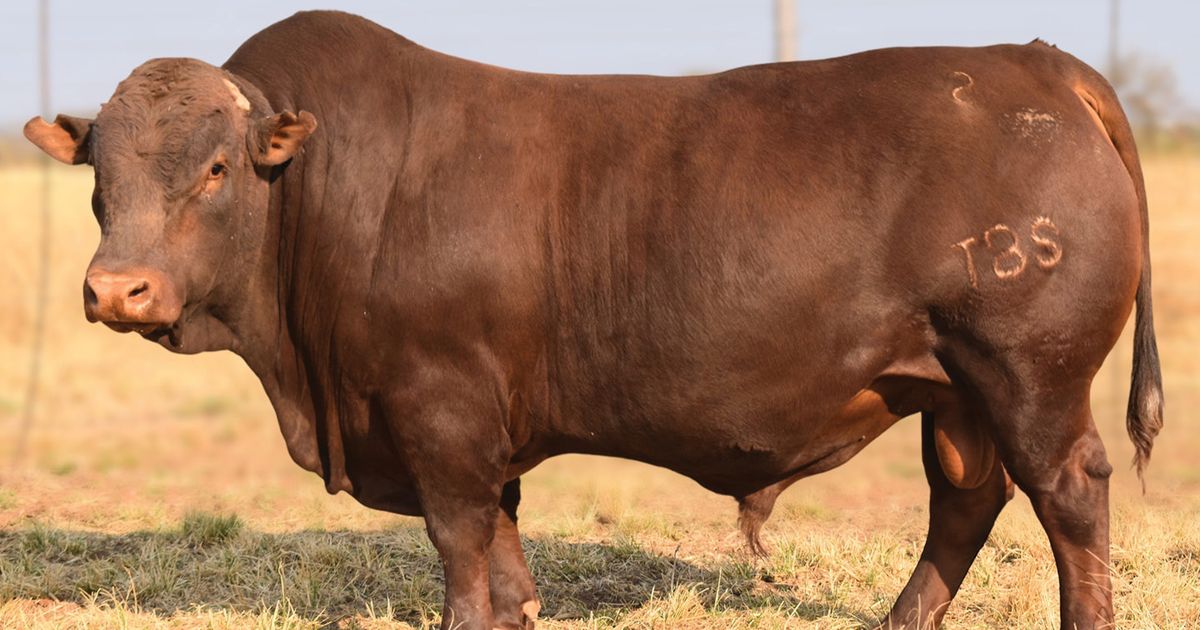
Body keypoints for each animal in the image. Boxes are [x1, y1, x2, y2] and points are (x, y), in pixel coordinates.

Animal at [24, 10, 1161, 630]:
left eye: (216, 168)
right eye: (99, 171)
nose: (116, 290)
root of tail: (1036, 58)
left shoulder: (438, 408)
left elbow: (461, 546)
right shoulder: (478, 429)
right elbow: (505, 554)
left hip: (1029, 371)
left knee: (1067, 498)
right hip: (954, 386)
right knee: (967, 499)